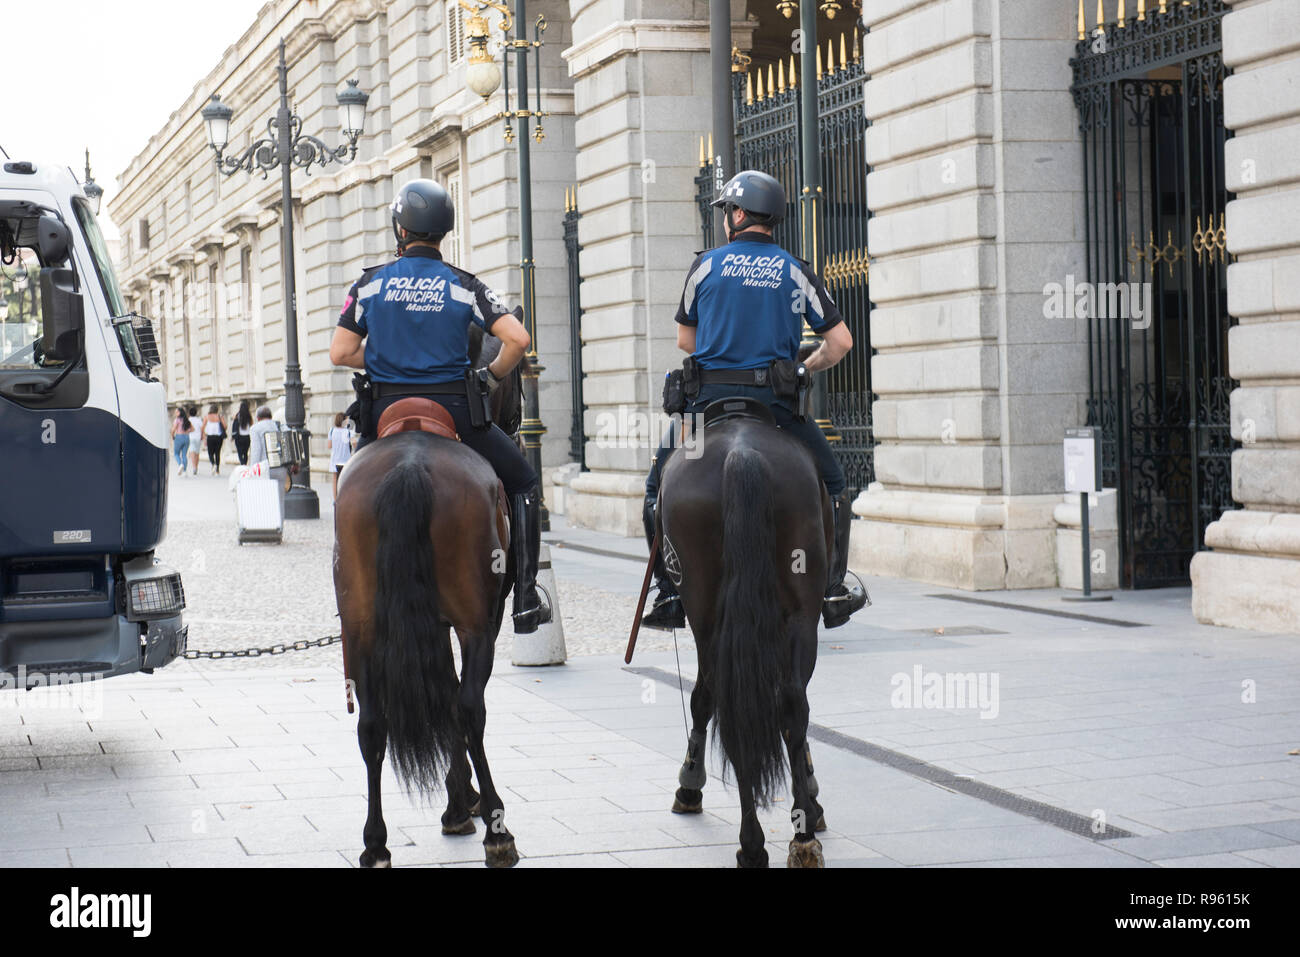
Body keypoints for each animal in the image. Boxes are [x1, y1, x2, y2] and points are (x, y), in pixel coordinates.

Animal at [332, 328, 527, 869]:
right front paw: (463, 805)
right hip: (477, 623)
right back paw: (499, 832)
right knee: (470, 707)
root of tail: (410, 466)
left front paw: (457, 801)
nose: (515, 422)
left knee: (372, 725)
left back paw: (375, 843)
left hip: (359, 628)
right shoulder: (480, 619)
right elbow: (458, 700)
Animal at [656, 400, 831, 868]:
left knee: (724, 698)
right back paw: (800, 836)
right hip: (801, 613)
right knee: (791, 704)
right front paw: (808, 799)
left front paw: (689, 783)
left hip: (704, 610)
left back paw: (753, 844)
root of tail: (742, 453)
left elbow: (702, 700)